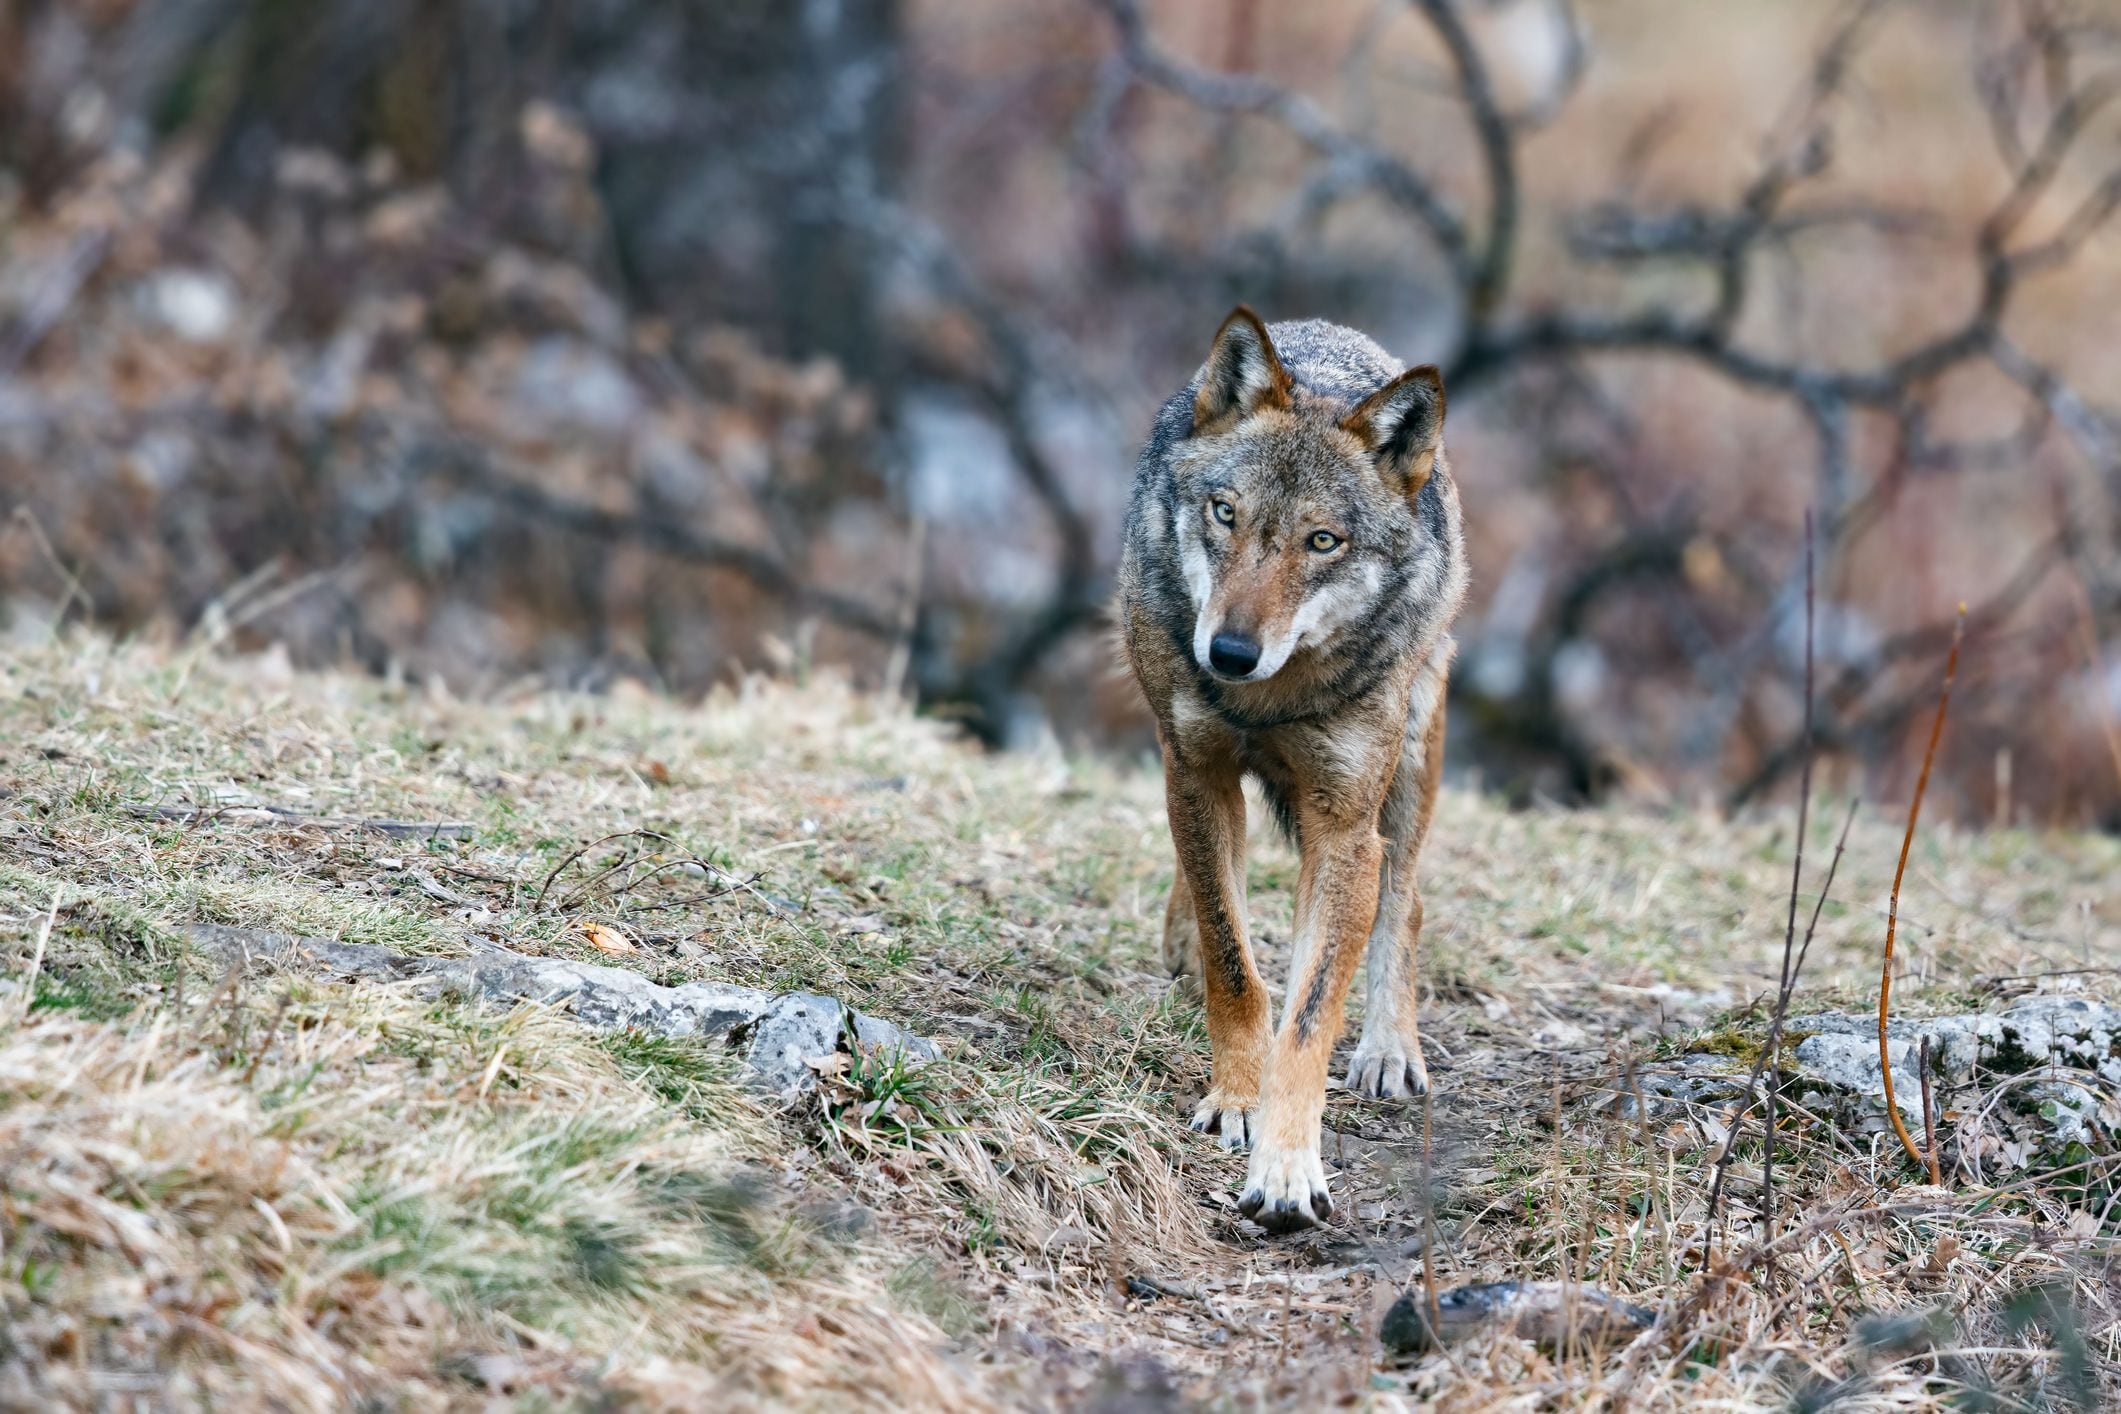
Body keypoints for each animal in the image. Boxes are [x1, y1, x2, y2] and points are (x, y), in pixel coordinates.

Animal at [1118, 307, 1467, 1232]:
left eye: (1321, 542)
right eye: (1225, 513)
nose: (1229, 654)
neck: (1267, 701)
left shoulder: (1343, 828)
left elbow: (1309, 1017)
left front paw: (1285, 1168)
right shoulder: (1196, 772)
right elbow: (1233, 963)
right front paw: (1236, 1101)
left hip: (1410, 758)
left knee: (1406, 899)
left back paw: (1388, 1049)